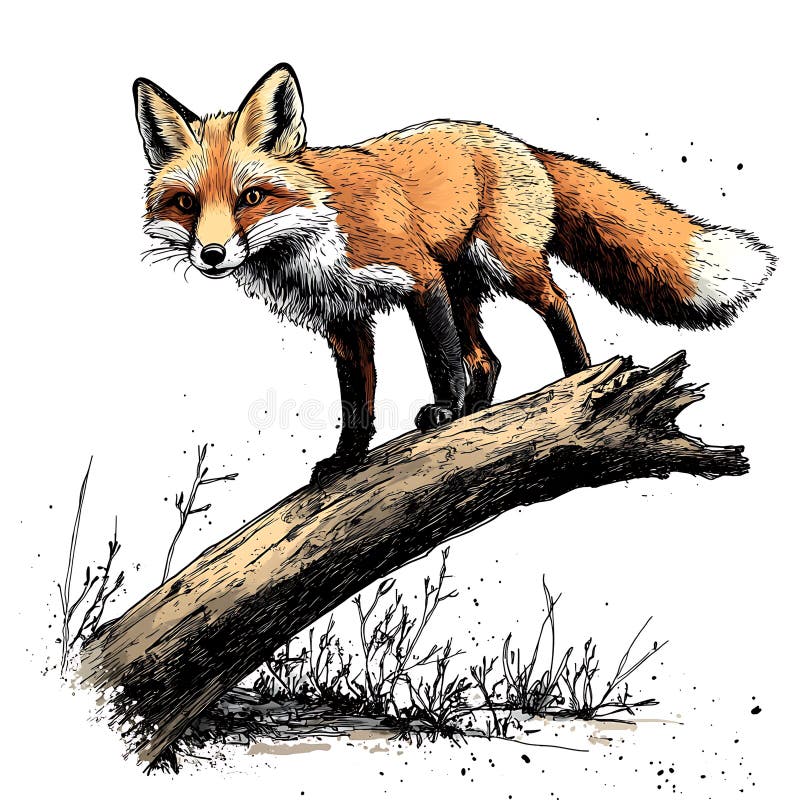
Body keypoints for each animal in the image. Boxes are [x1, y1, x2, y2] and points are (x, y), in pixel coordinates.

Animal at [134, 63, 775, 483]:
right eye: (187, 203)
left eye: (251, 198)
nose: (212, 254)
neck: (312, 238)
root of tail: (517, 142)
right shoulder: (344, 319)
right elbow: (357, 399)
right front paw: (347, 457)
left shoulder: (418, 278)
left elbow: (438, 360)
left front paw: (442, 411)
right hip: (467, 285)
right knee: (487, 359)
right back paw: (479, 415)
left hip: (505, 266)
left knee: (556, 307)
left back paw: (579, 378)